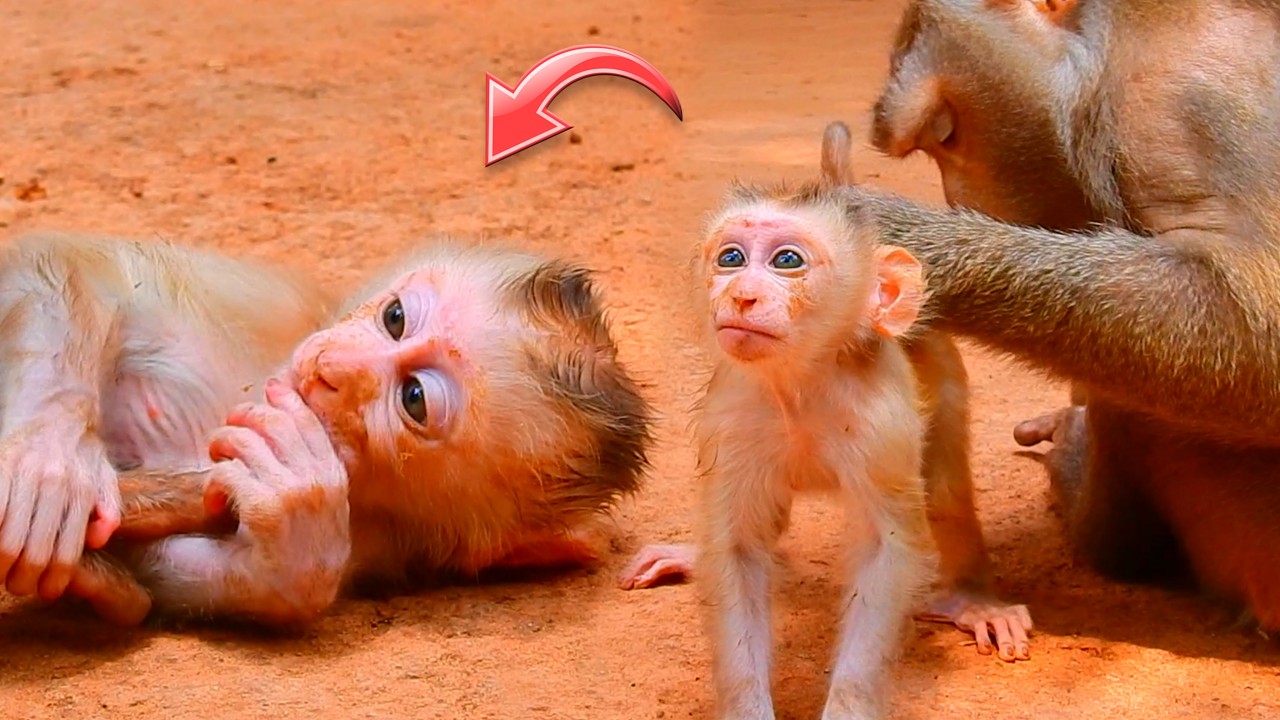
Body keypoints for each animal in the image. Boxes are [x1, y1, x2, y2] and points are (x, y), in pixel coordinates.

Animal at [0, 232, 652, 627]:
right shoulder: (272, 313)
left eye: (414, 398)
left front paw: (294, 529)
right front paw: (48, 459)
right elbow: (79, 269)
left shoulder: (377, 545)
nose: (333, 371)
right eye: (395, 317)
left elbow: (239, 575)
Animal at [619, 121, 1034, 663]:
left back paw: (971, 598)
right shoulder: (730, 413)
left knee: (942, 470)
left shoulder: (880, 419)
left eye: (786, 260)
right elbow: (741, 540)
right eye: (731, 258)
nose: (742, 296)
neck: (802, 385)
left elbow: (889, 544)